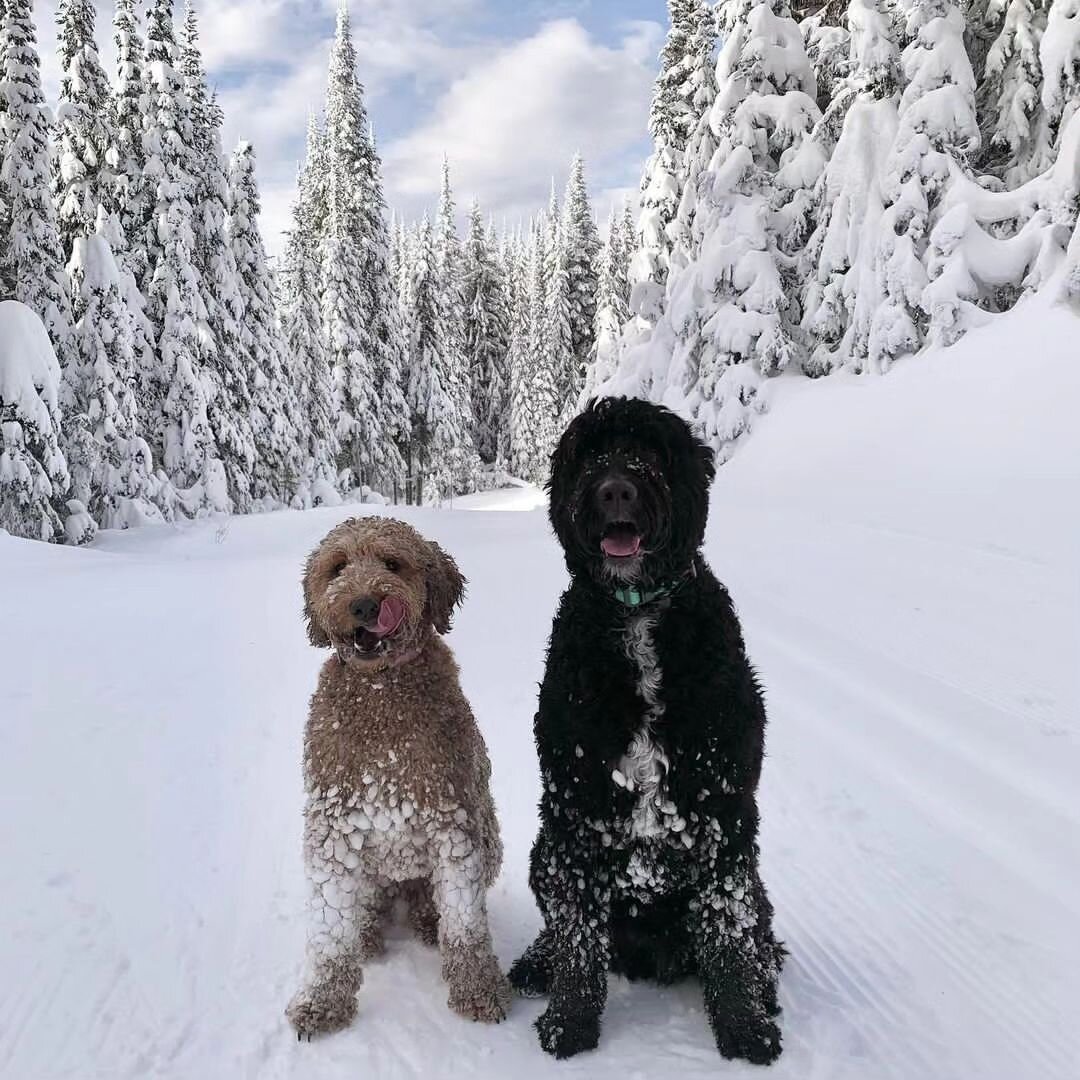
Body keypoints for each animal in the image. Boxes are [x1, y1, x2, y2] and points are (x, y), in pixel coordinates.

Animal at [282, 516, 509, 1036]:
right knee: (368, 903)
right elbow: (330, 927)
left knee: (432, 898)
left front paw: (477, 991)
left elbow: (465, 922)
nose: (365, 604)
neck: (382, 688)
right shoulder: (332, 825)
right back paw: (367, 931)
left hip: (490, 837)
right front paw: (323, 1001)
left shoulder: (455, 819)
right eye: (338, 567)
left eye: (393, 563)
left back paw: (427, 920)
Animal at [509, 397, 781, 1062]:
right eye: (590, 453)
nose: (615, 490)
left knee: (755, 932)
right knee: (561, 929)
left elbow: (728, 931)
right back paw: (536, 963)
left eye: (653, 450)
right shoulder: (577, 806)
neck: (637, 616)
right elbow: (578, 937)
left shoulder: (722, 809)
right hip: (542, 851)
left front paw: (745, 1027)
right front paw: (570, 1024)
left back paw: (767, 985)